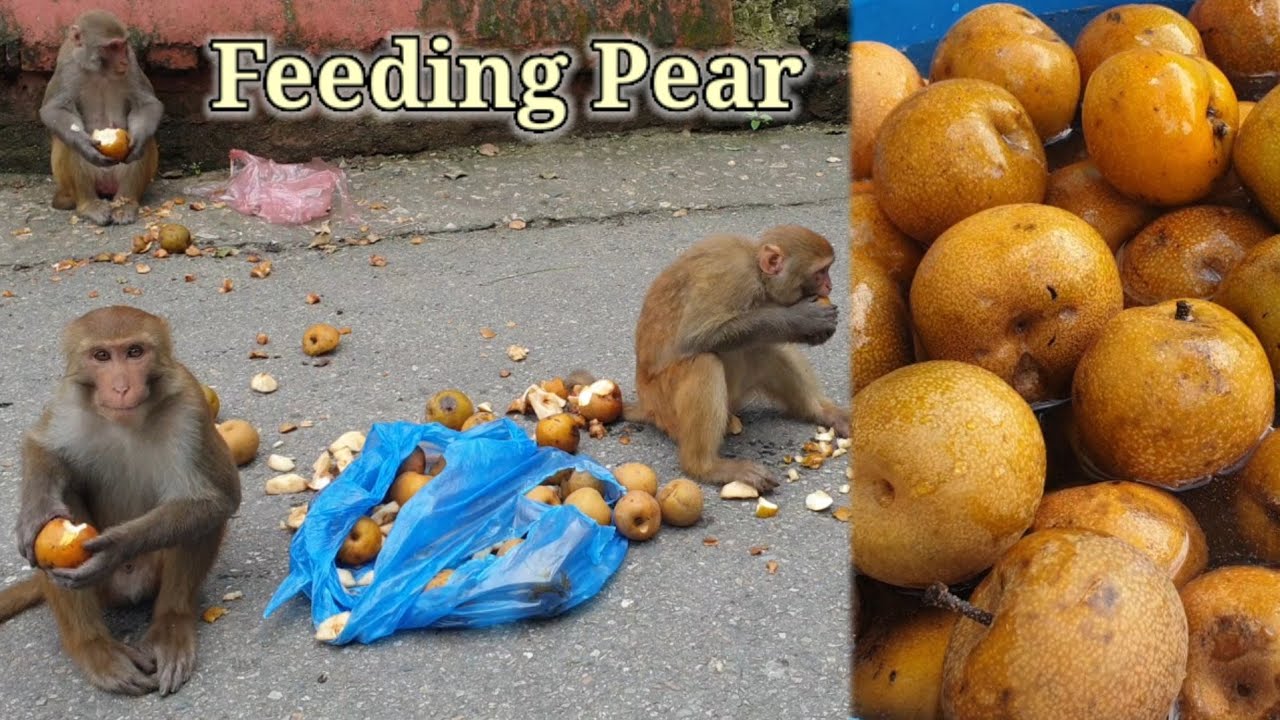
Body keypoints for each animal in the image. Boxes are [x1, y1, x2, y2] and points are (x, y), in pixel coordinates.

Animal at [0, 306, 240, 696]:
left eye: (134, 352)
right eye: (101, 356)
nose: (122, 387)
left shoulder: (190, 405)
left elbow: (220, 497)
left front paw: (114, 547)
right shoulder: (66, 401)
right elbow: (42, 447)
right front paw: (36, 513)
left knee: (202, 514)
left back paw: (171, 626)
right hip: (103, 592)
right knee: (66, 491)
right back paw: (94, 648)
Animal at [39, 10, 163, 226]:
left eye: (123, 45)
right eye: (112, 47)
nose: (122, 61)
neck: (99, 71)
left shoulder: (132, 61)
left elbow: (146, 105)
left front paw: (138, 141)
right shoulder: (68, 66)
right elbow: (54, 109)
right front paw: (85, 145)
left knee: (147, 141)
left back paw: (125, 203)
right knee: (68, 142)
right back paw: (89, 205)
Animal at [576, 225, 850, 493]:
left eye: (828, 270)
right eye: (820, 273)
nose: (830, 287)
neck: (758, 273)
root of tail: (647, 405)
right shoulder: (733, 277)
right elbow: (694, 337)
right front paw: (802, 320)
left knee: (764, 347)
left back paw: (821, 412)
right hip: (667, 406)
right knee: (705, 361)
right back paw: (706, 467)